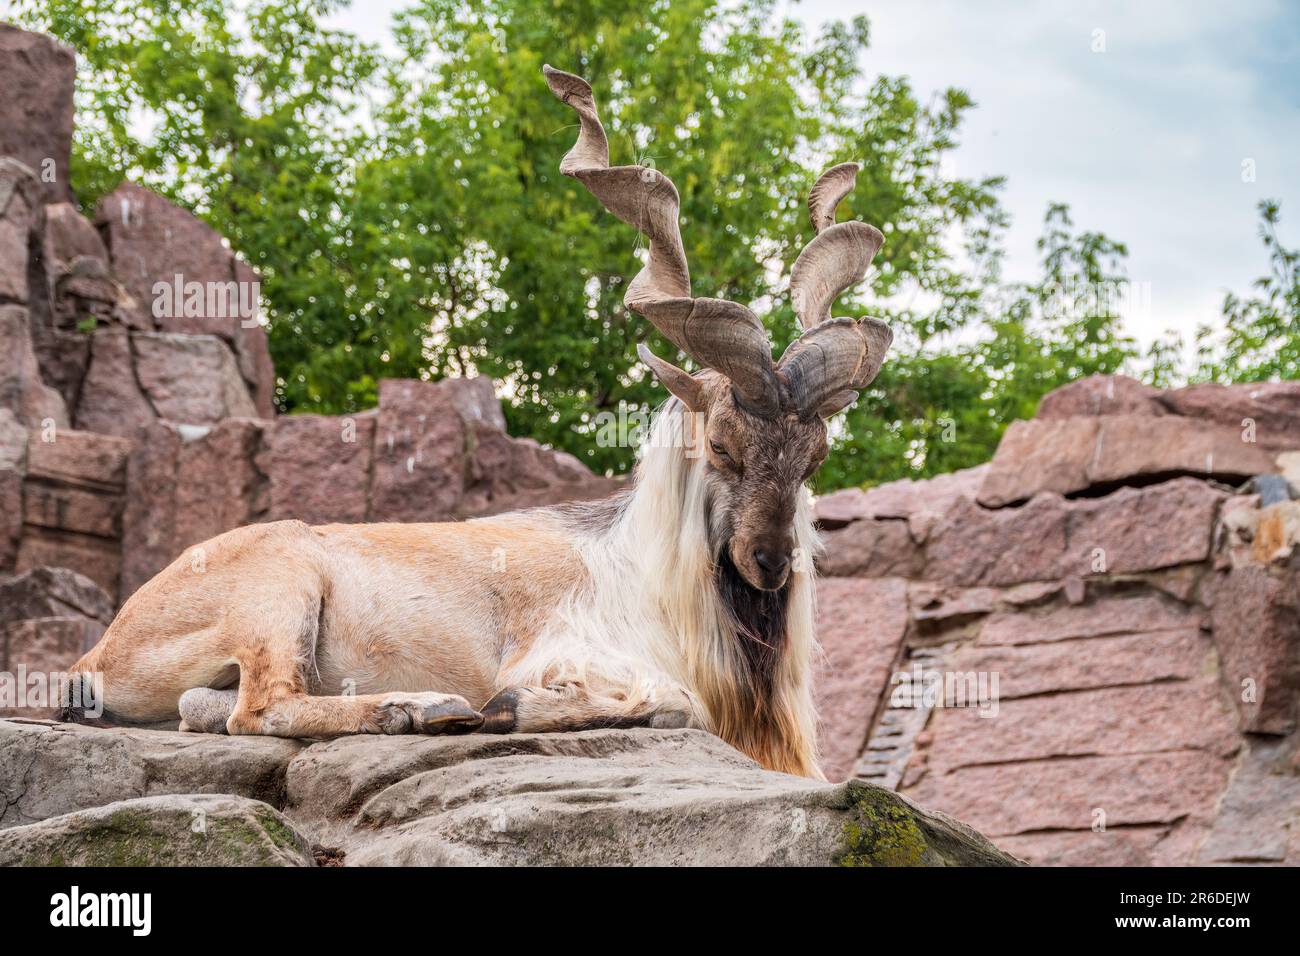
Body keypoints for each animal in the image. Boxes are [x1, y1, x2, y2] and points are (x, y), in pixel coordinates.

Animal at [64, 67, 892, 778]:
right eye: (720, 444)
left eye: (814, 458)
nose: (771, 561)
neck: (641, 567)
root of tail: (97, 655)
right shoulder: (572, 652)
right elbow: (668, 702)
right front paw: (509, 706)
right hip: (281, 584)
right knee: (258, 707)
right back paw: (420, 708)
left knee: (206, 706)